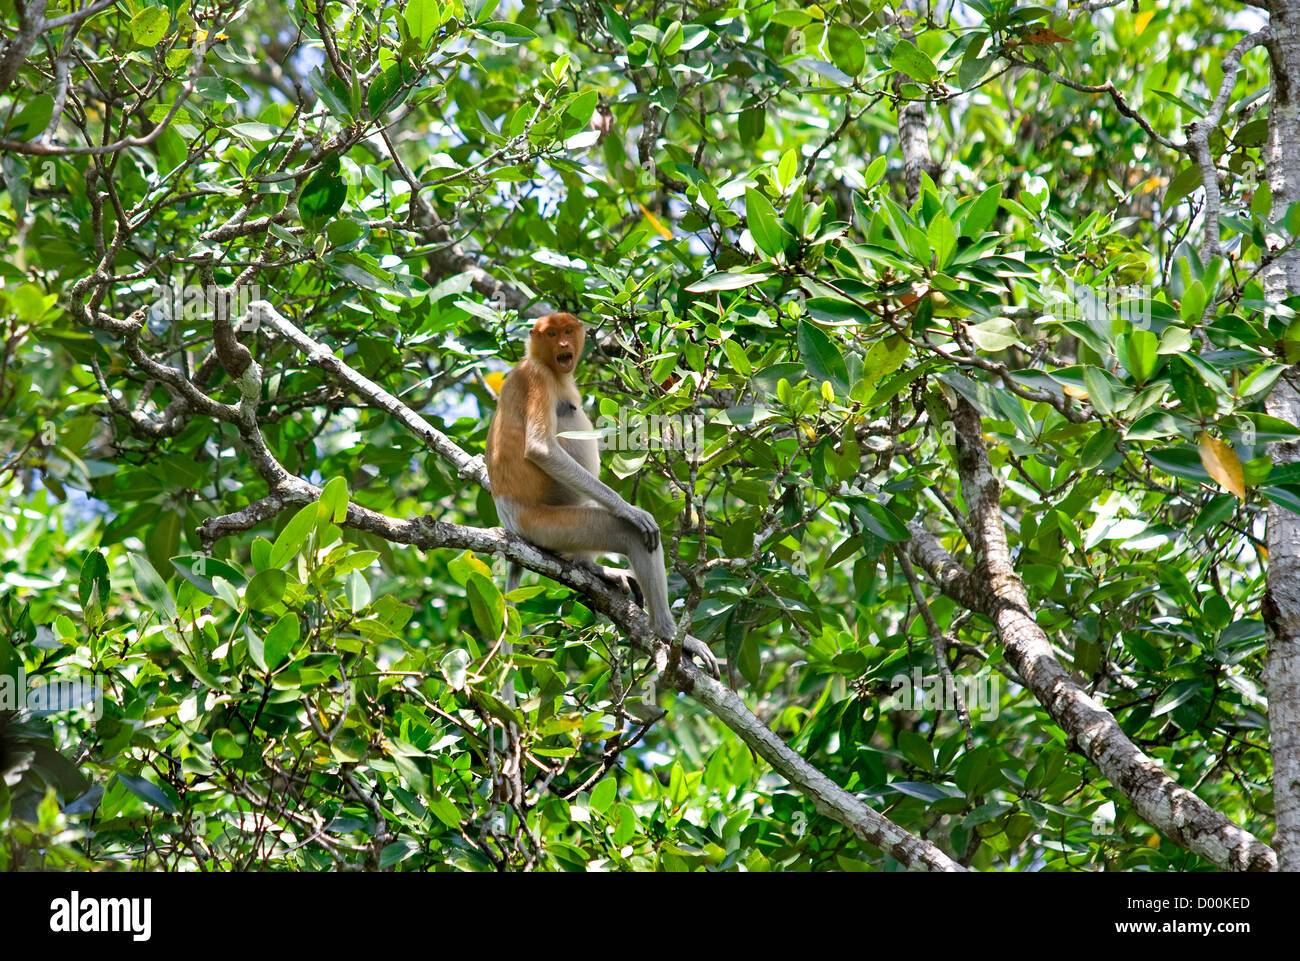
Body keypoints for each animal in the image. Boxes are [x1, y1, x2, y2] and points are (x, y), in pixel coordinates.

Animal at [485, 313, 720, 679]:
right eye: (551, 334)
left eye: (567, 331)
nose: (563, 345)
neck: (546, 365)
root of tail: (510, 520)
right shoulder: (535, 378)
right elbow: (541, 449)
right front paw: (633, 512)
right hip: (548, 525)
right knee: (630, 536)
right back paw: (669, 633)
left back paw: (595, 569)